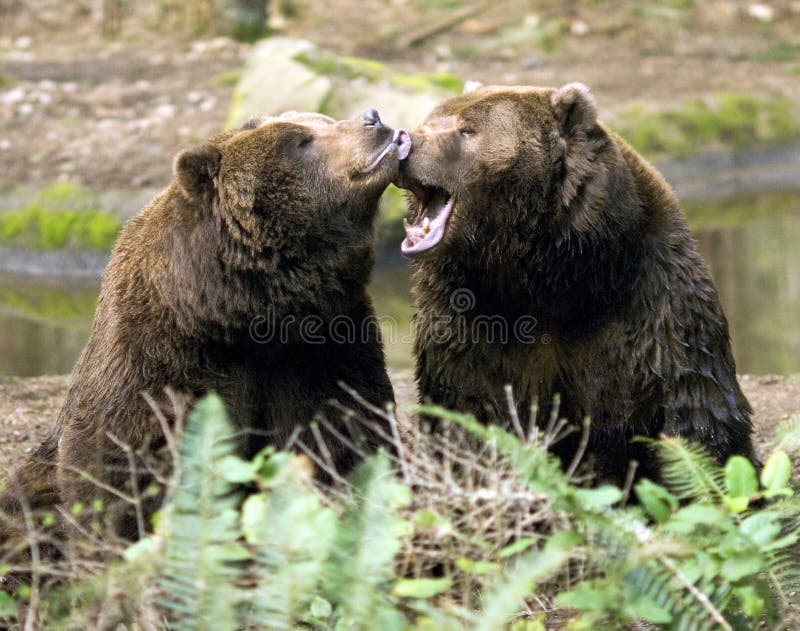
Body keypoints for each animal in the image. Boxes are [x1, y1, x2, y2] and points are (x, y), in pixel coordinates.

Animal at [398, 81, 756, 482]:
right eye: (432, 118)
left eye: (467, 130)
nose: (404, 141)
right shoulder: (467, 310)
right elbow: (467, 401)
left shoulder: (650, 297)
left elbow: (692, 404)